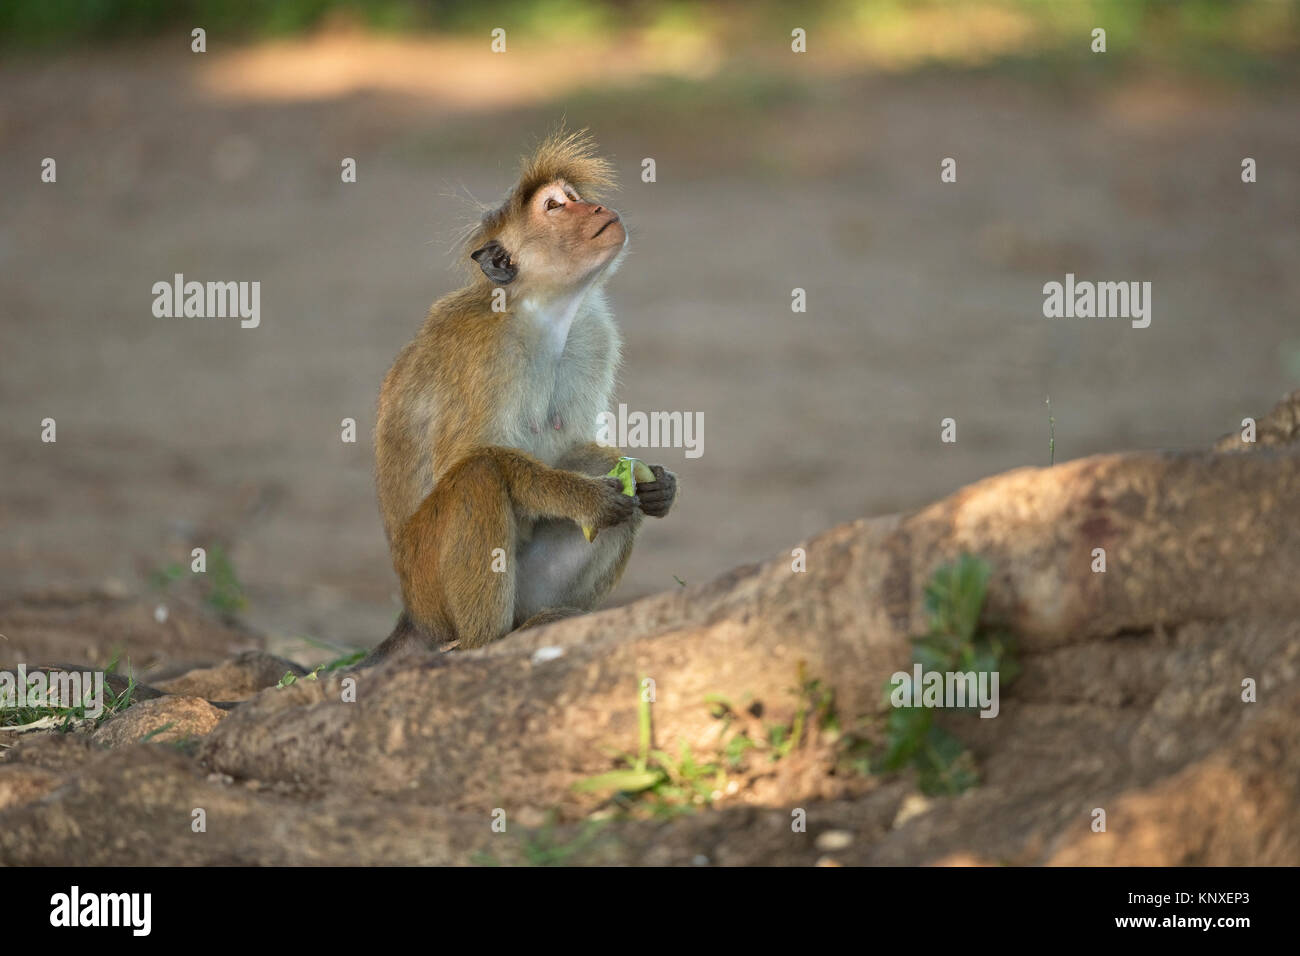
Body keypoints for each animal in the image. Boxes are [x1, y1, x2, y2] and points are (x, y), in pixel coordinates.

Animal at [365, 131, 677, 661]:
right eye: (555, 206)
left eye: (572, 197)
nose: (596, 209)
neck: (540, 311)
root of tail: (412, 615)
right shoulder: (483, 349)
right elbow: (467, 458)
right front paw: (585, 497)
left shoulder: (594, 333)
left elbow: (574, 446)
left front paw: (655, 482)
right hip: (429, 588)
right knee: (478, 477)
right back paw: (485, 643)